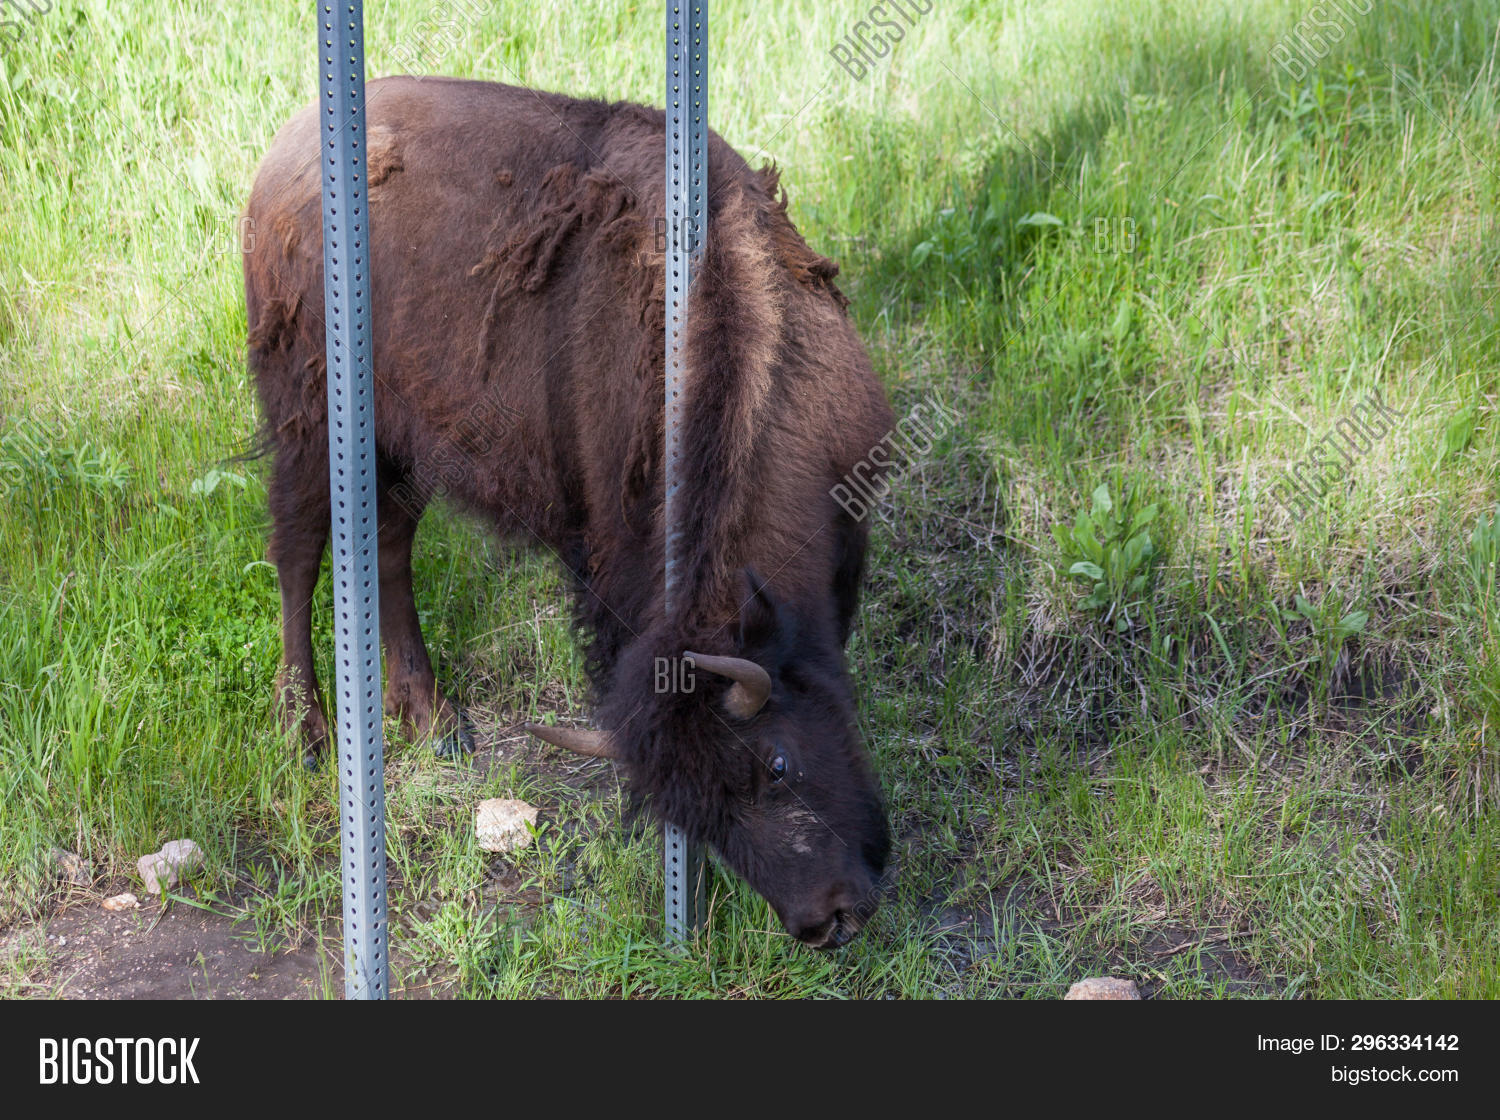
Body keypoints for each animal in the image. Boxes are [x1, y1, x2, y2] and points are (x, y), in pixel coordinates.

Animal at [243, 77, 895, 947]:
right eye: (701, 804)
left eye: (779, 764)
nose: (824, 921)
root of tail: (278, 160)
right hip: (307, 422)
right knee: (298, 552)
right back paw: (308, 734)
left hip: (404, 446)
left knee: (386, 549)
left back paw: (436, 723)